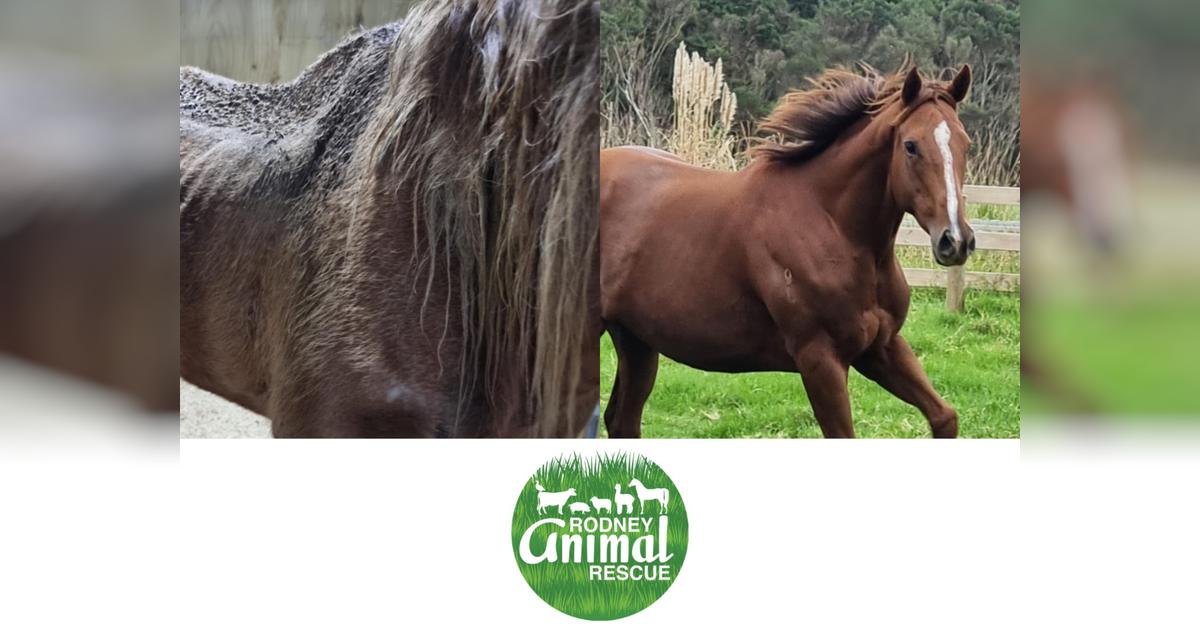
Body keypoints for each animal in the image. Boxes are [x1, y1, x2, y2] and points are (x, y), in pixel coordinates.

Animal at [601, 64, 975, 438]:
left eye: (965, 144)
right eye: (911, 146)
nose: (955, 240)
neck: (833, 226)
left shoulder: (881, 347)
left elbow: (945, 417)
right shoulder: (820, 359)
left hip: (637, 341)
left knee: (621, 420)